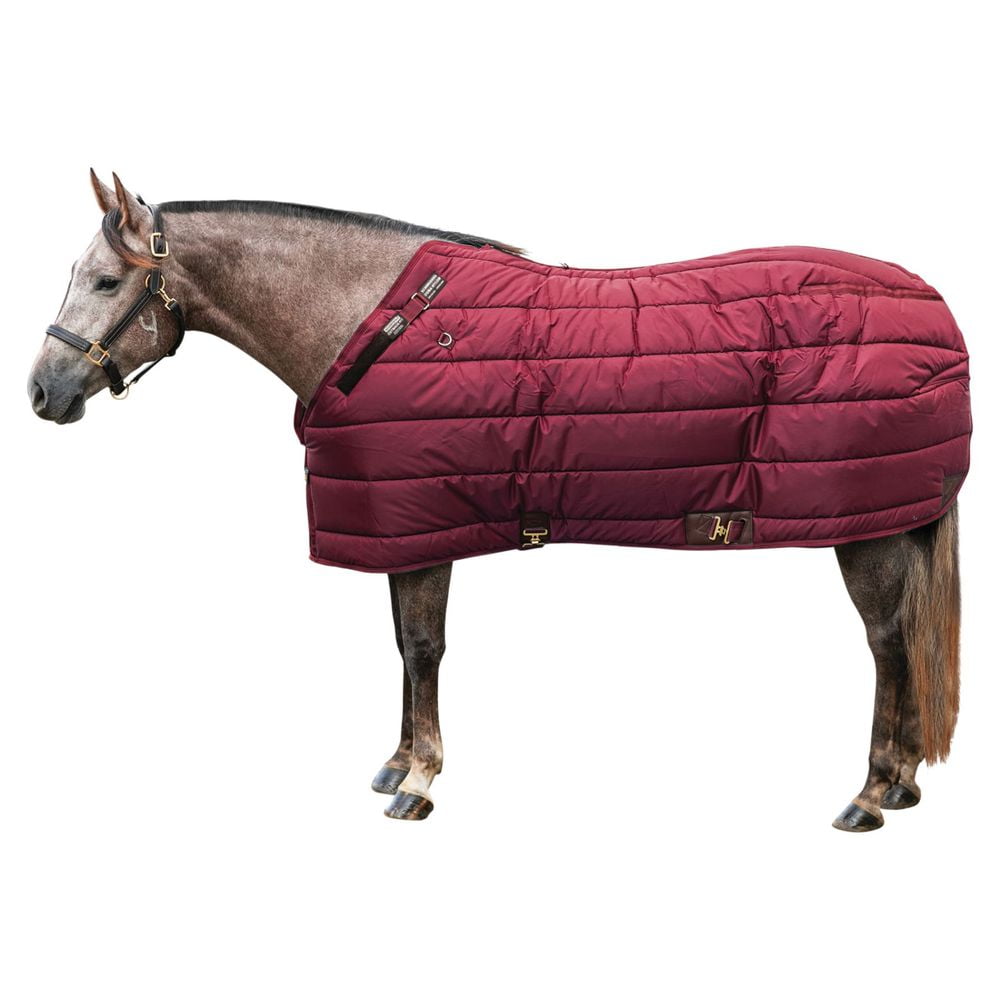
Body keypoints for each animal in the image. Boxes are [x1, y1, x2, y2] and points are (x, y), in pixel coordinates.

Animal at [27, 171, 967, 828]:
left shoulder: (426, 527)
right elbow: (404, 647)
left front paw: (416, 782)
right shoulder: (403, 527)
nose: (42, 391)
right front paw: (398, 762)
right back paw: (902, 784)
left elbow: (422, 649)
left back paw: (873, 793)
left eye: (105, 282)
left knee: (887, 645)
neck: (375, 323)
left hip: (866, 531)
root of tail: (934, 306)